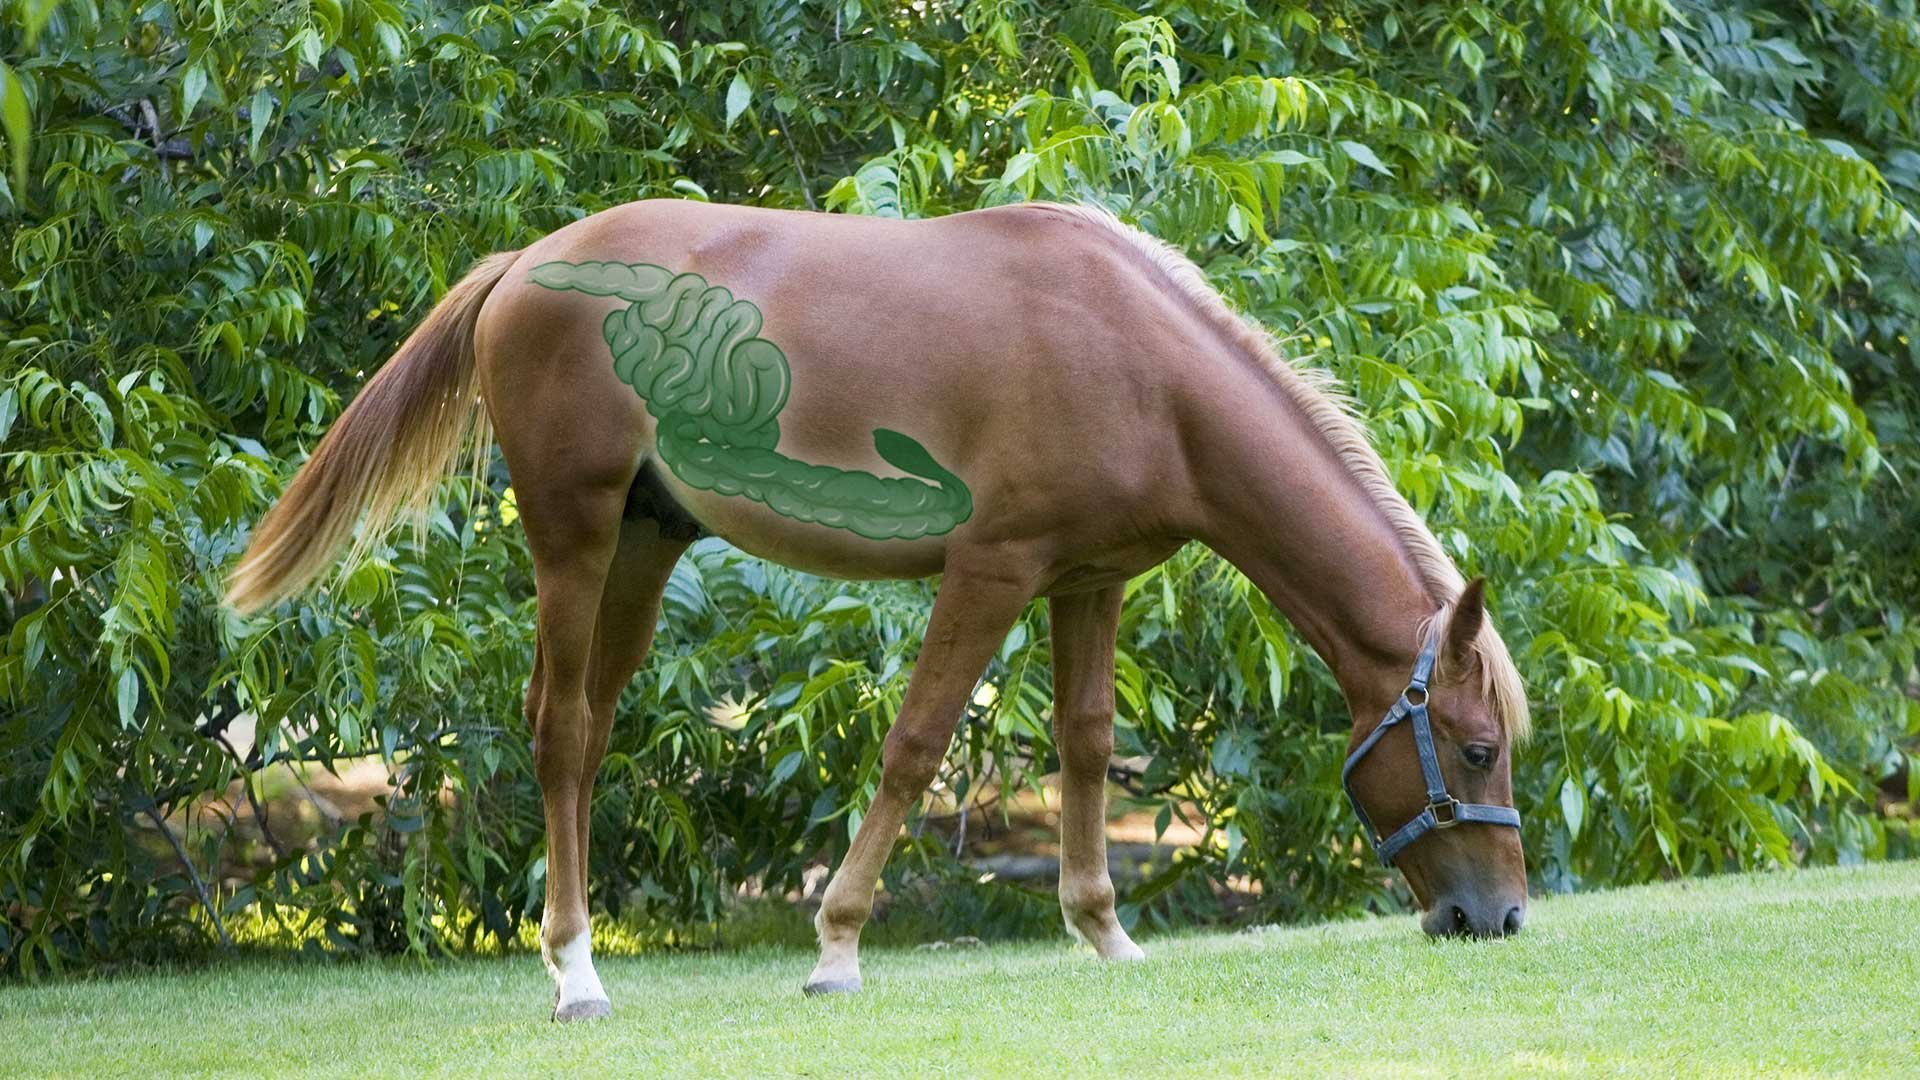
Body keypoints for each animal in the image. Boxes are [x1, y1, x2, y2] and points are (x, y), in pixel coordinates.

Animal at [225, 200, 1531, 1021]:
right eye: (1475, 748)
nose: (1503, 916)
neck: (1143, 368)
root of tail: (524, 264)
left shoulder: (1088, 581)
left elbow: (1086, 746)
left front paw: (1103, 930)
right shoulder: (991, 570)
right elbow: (914, 747)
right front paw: (839, 946)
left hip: (644, 543)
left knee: (585, 732)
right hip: (573, 536)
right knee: (557, 733)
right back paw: (578, 977)